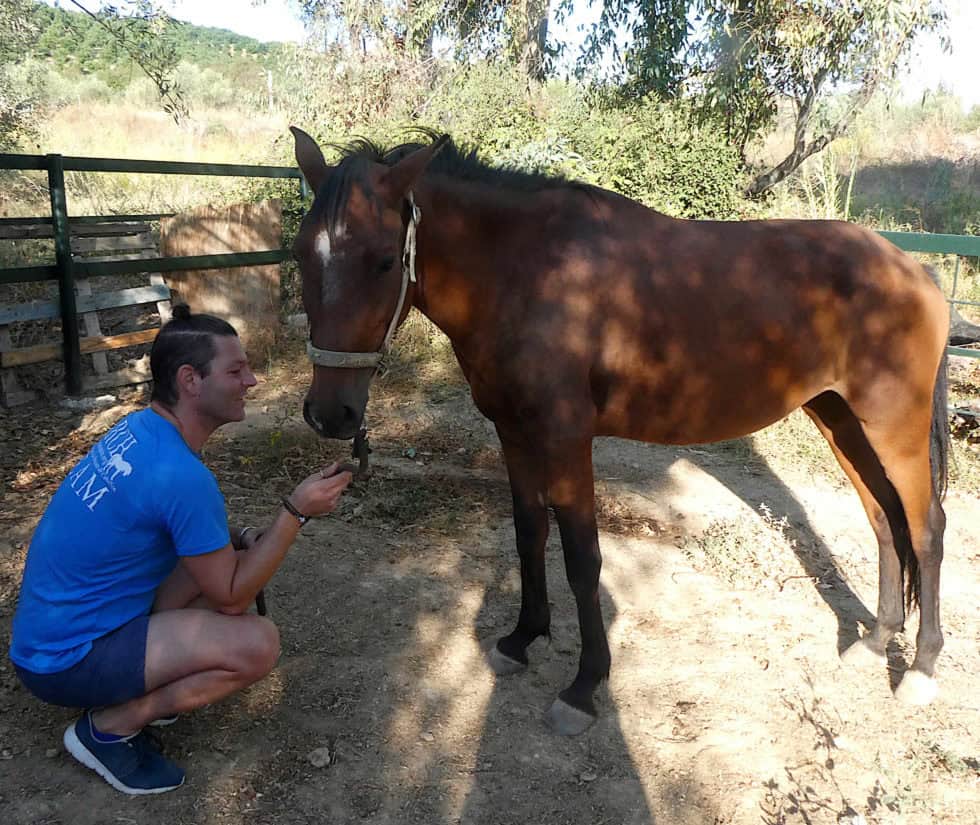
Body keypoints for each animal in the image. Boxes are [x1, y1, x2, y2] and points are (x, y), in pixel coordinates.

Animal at [289, 126, 950, 735]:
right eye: (300, 255)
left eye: (383, 260)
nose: (330, 414)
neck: (526, 272)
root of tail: (914, 270)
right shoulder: (513, 433)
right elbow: (528, 532)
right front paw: (522, 638)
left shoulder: (566, 440)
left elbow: (584, 559)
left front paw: (585, 686)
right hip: (841, 421)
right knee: (883, 522)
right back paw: (875, 641)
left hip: (894, 428)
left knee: (924, 529)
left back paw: (921, 669)